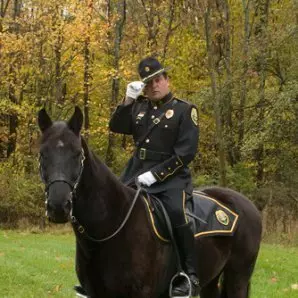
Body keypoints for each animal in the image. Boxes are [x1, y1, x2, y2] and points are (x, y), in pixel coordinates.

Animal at [37, 106, 264, 296]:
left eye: (77, 154)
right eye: (42, 154)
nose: (58, 206)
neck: (112, 223)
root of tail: (247, 205)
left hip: (238, 277)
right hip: (211, 280)